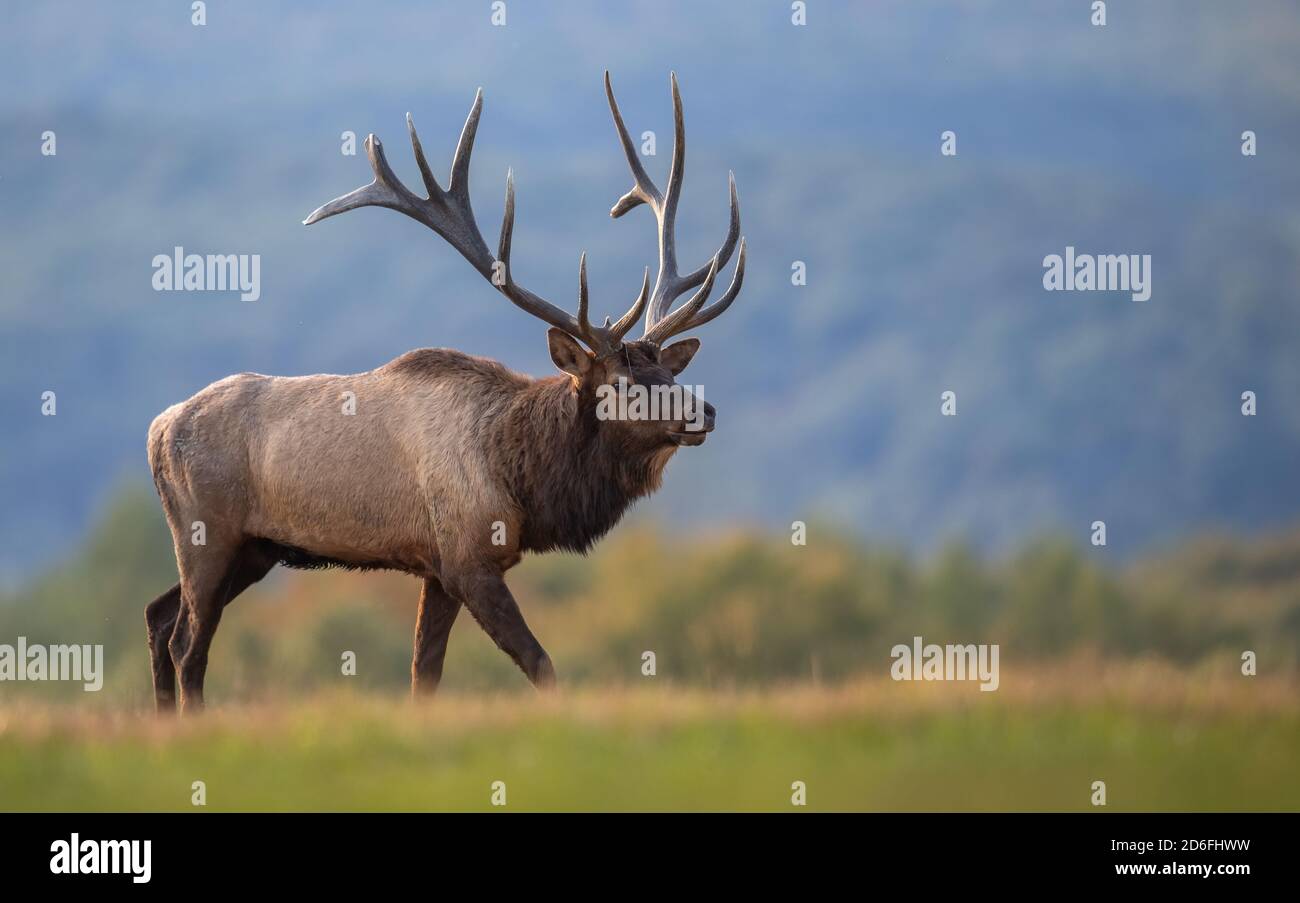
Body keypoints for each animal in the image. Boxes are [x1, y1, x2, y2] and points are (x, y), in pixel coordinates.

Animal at [144, 72, 745, 713]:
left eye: (669, 375)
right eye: (624, 383)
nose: (704, 411)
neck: (522, 481)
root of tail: (158, 428)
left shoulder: (435, 569)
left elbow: (424, 673)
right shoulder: (466, 559)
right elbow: (540, 663)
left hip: (253, 547)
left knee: (159, 617)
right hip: (206, 532)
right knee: (188, 643)